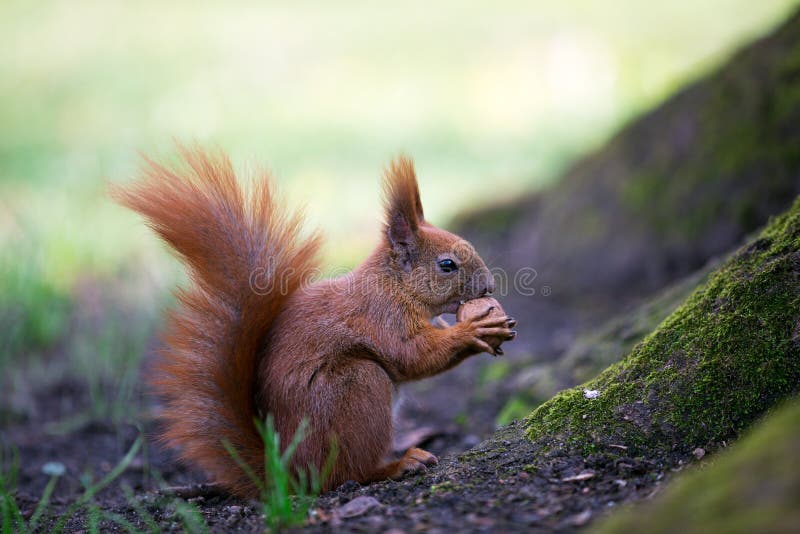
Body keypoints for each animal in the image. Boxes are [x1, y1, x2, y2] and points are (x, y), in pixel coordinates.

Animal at [113, 146, 517, 498]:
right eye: (447, 265)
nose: (489, 286)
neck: (395, 286)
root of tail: (288, 473)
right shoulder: (381, 316)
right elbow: (414, 356)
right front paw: (475, 330)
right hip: (357, 388)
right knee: (345, 474)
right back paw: (395, 465)